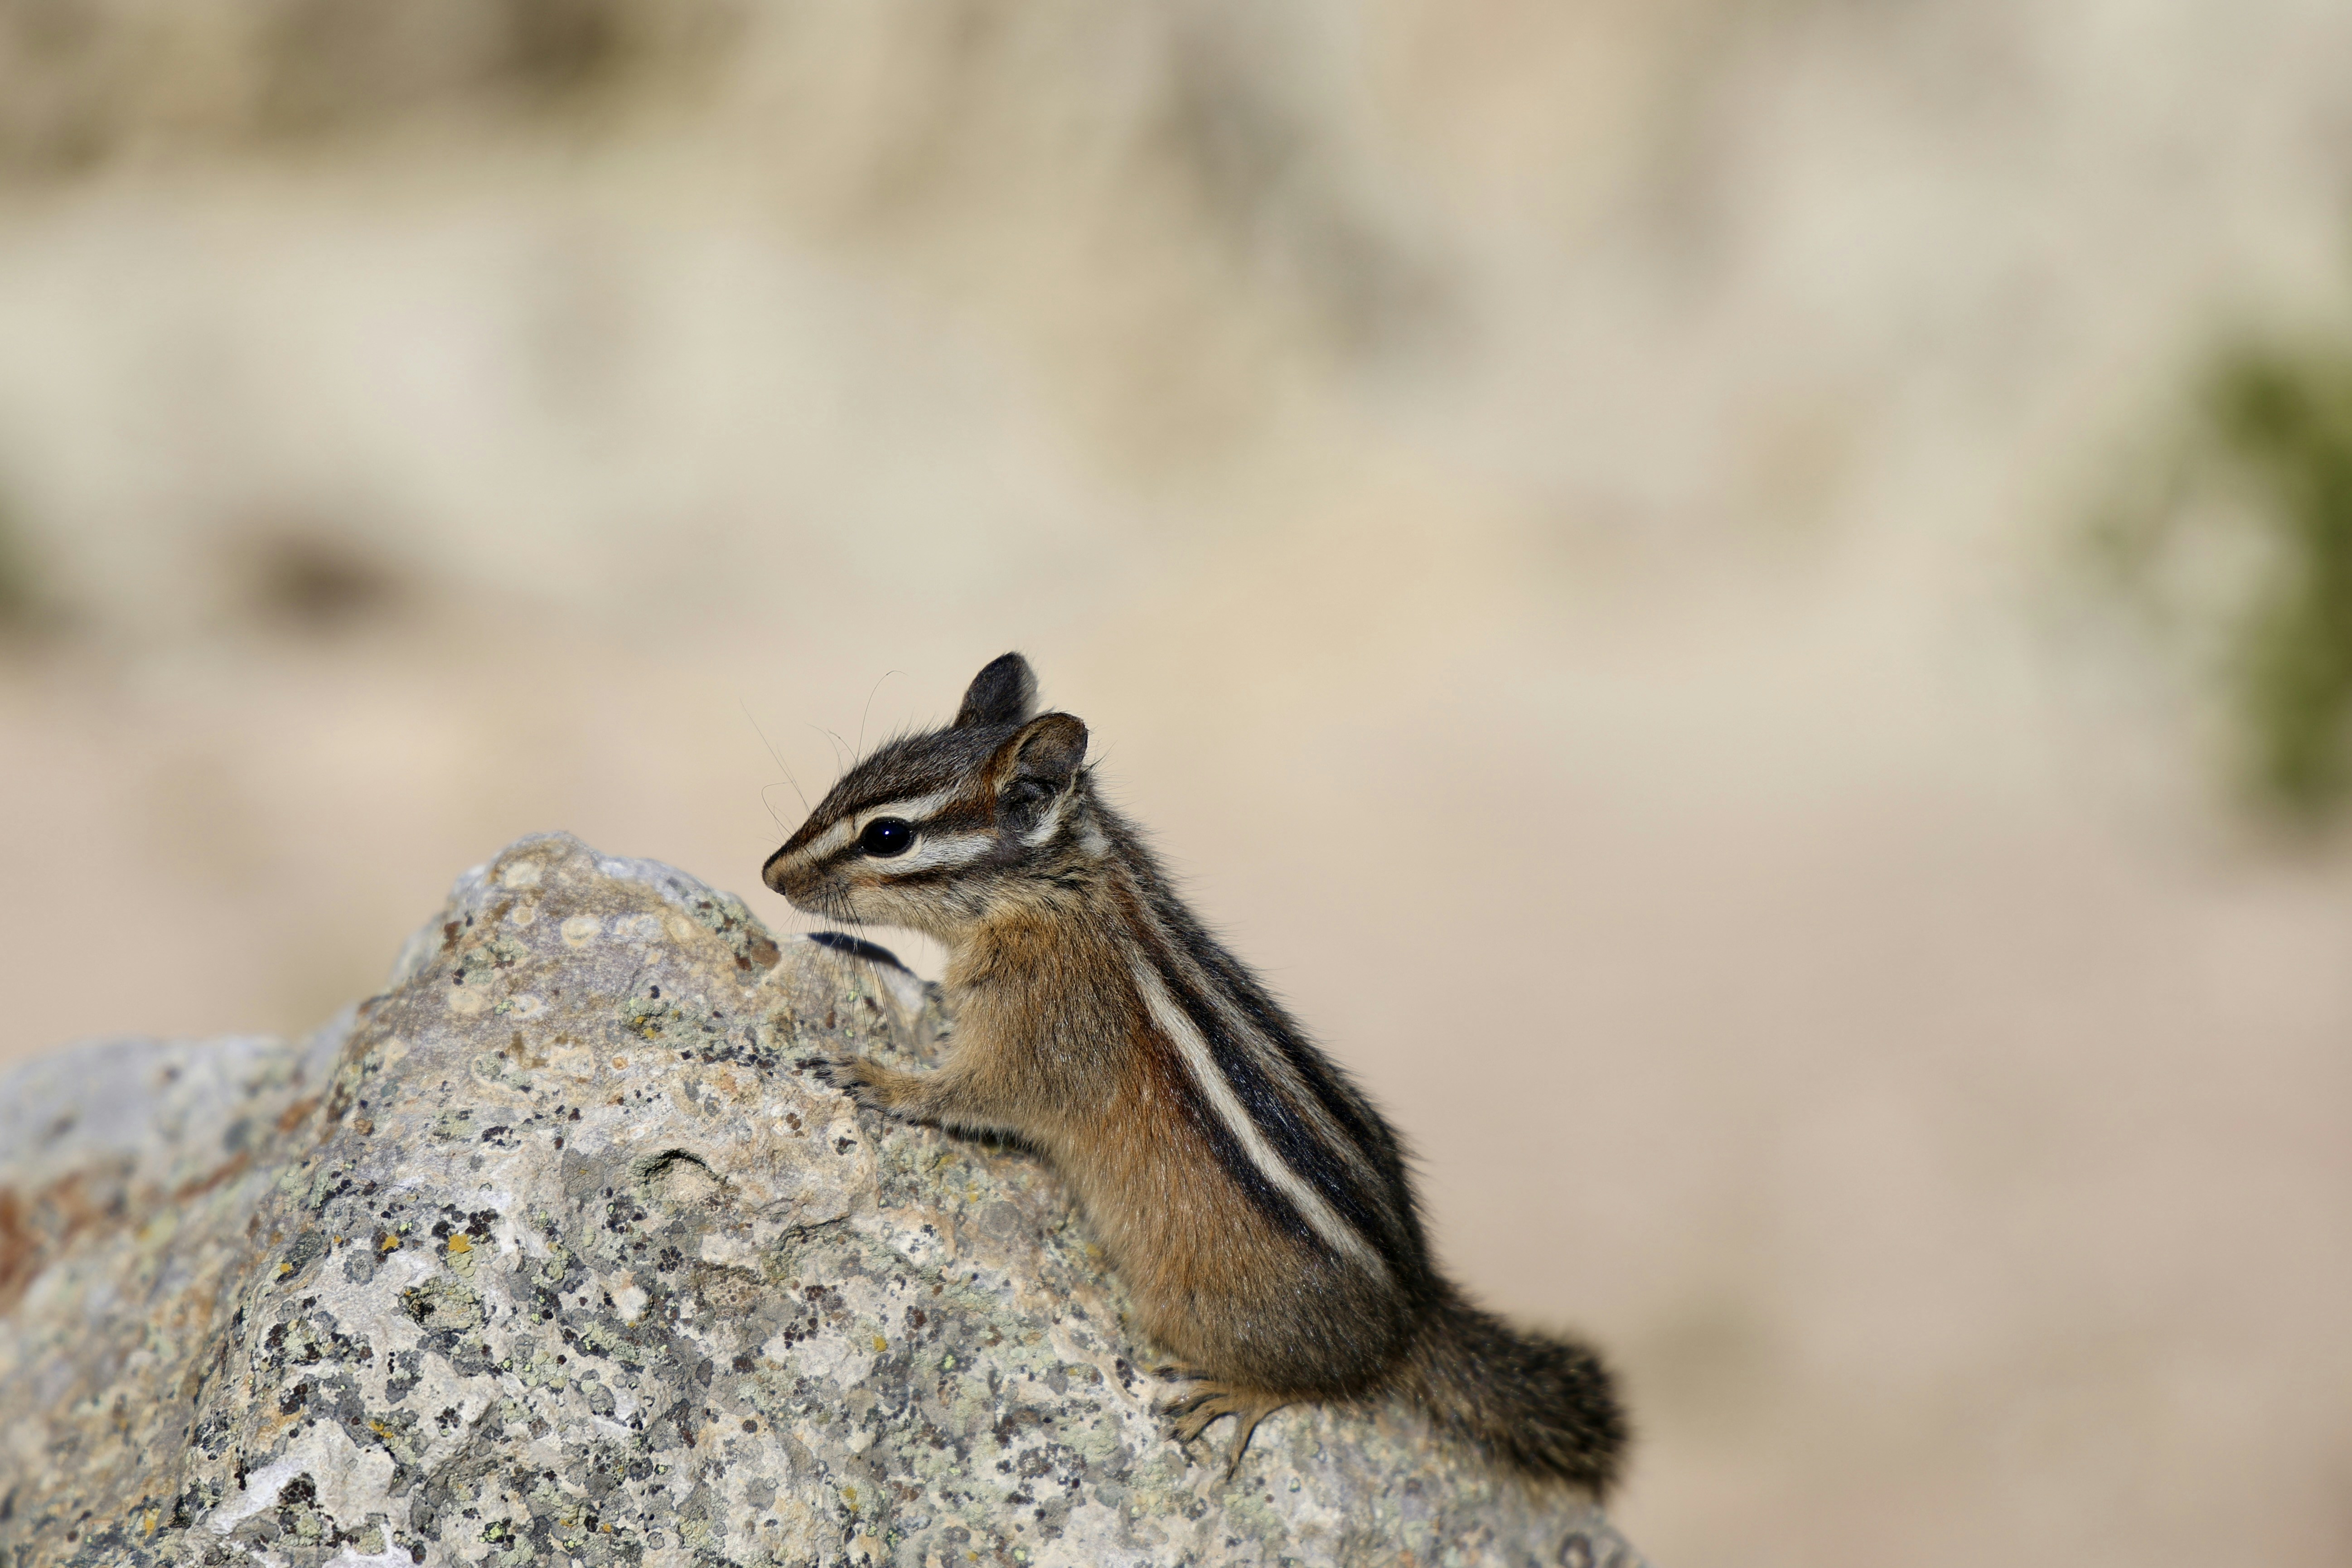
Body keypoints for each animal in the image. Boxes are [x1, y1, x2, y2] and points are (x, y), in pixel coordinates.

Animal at [761, 653, 1627, 1492]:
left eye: (887, 835)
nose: (771, 874)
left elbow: (977, 1094)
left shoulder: (1049, 1032)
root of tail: (1416, 1315)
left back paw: (1238, 1395)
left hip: (1197, 1312)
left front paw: (881, 1079)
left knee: (1329, 1386)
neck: (1059, 891)